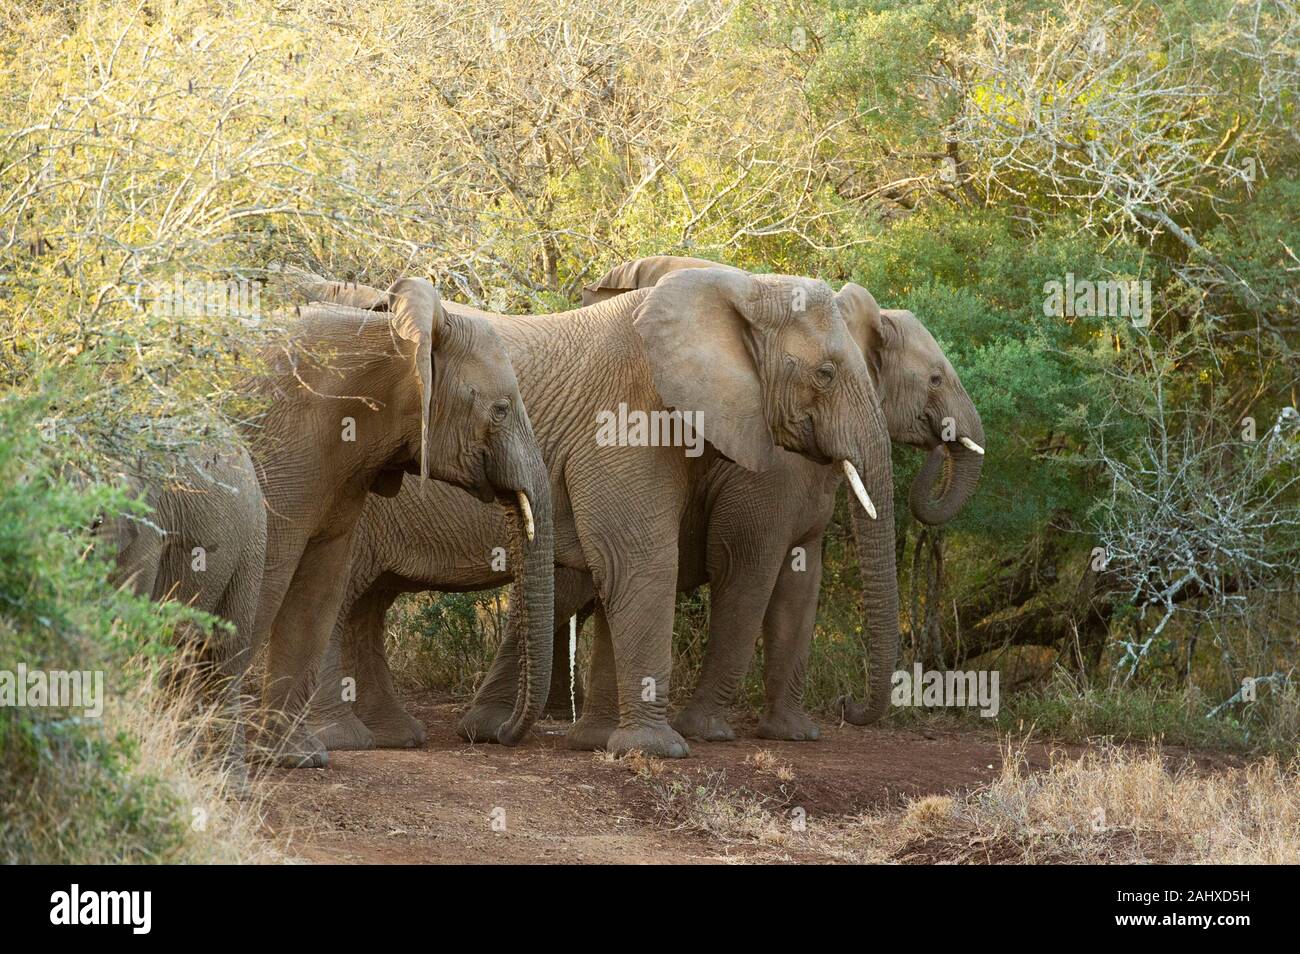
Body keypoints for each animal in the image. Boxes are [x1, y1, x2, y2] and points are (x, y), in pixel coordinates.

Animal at [245, 271, 553, 767]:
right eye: (501, 409)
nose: (500, 735)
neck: (398, 340)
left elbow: (320, 585)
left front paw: (294, 758)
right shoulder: (287, 446)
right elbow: (271, 571)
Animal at [304, 263, 894, 758]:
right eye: (825, 374)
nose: (846, 706)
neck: (739, 286)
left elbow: (613, 567)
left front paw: (598, 743)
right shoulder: (623, 420)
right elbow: (640, 560)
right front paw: (660, 751)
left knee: (367, 604)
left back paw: (394, 737)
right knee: (337, 593)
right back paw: (342, 740)